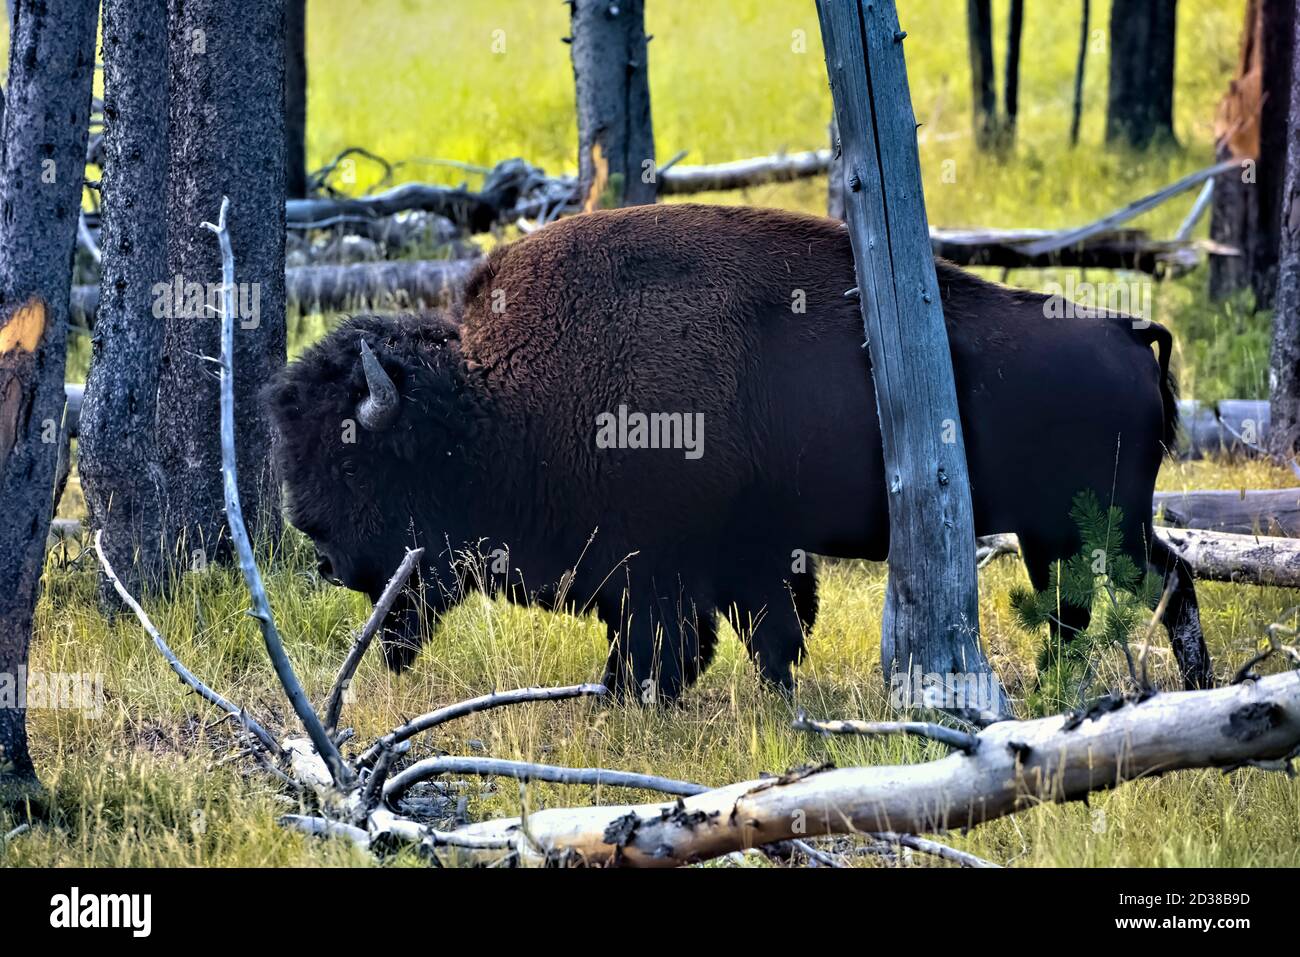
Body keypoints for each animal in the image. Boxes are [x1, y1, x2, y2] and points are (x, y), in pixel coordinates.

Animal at [265, 203, 1209, 701]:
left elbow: (697, 639)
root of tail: (1128, 331)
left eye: (355, 458)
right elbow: (767, 633)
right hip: (1060, 534)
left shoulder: (669, 567)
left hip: (1103, 525)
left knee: (1164, 584)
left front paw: (645, 700)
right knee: (1095, 602)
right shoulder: (743, 556)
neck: (496, 399)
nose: (320, 548)